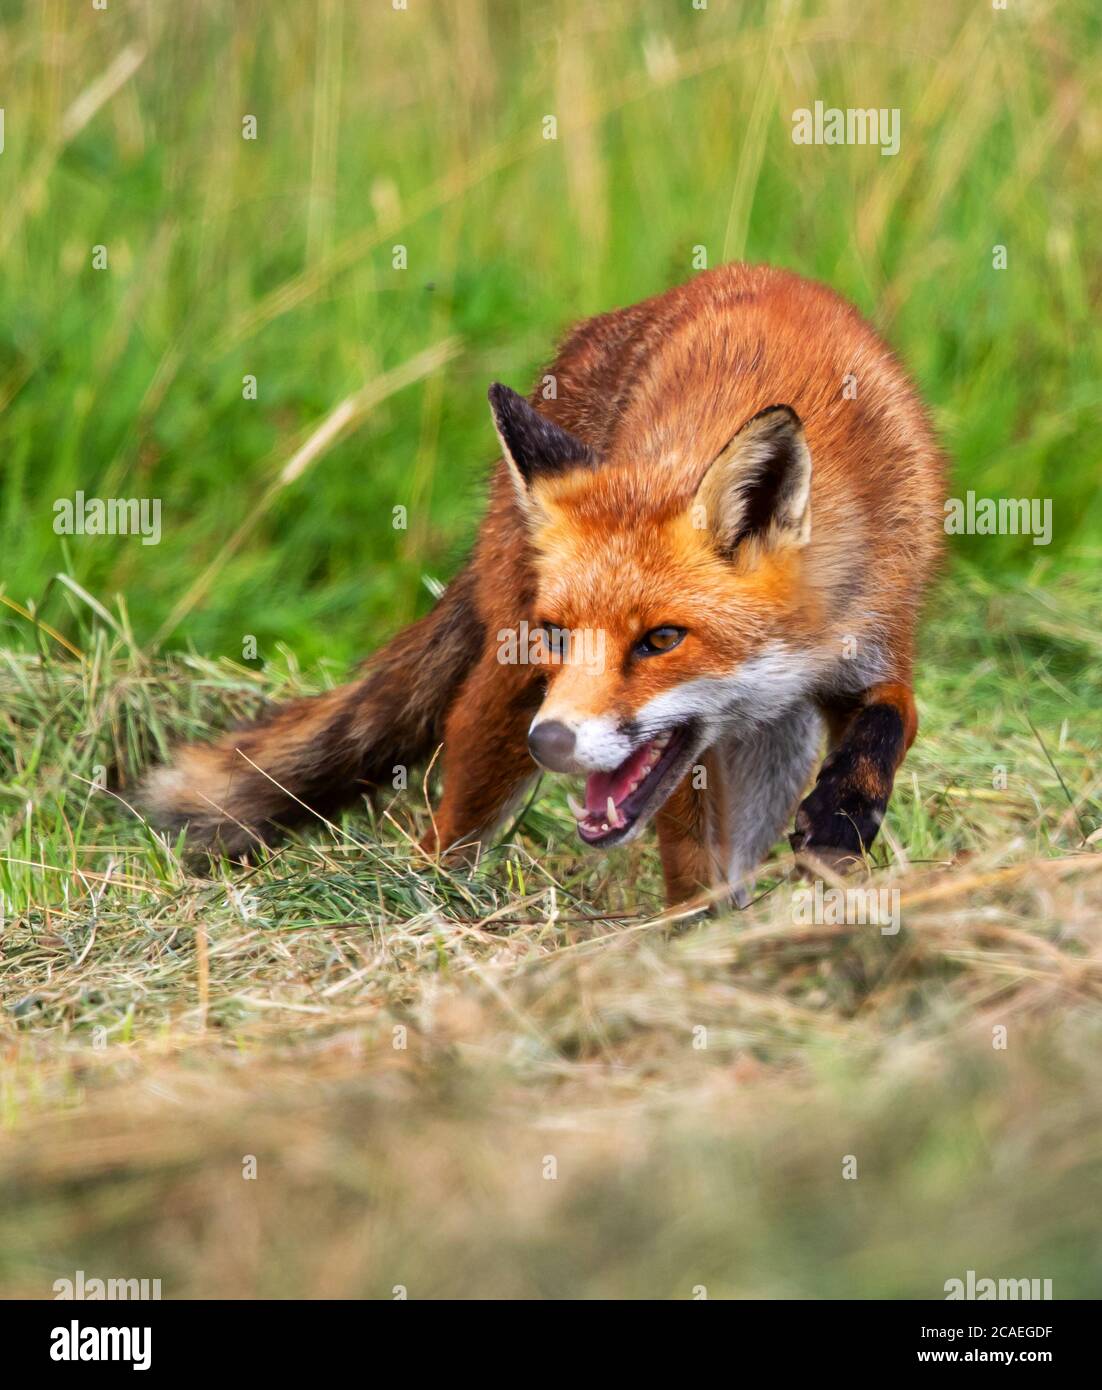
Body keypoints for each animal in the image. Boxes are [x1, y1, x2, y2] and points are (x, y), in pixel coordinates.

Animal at [141, 263, 945, 906]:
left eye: (662, 639)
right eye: (561, 634)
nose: (552, 741)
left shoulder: (875, 636)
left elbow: (894, 717)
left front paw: (845, 813)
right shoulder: (666, 756)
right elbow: (689, 857)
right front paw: (690, 934)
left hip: (775, 750)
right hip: (502, 707)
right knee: (447, 827)